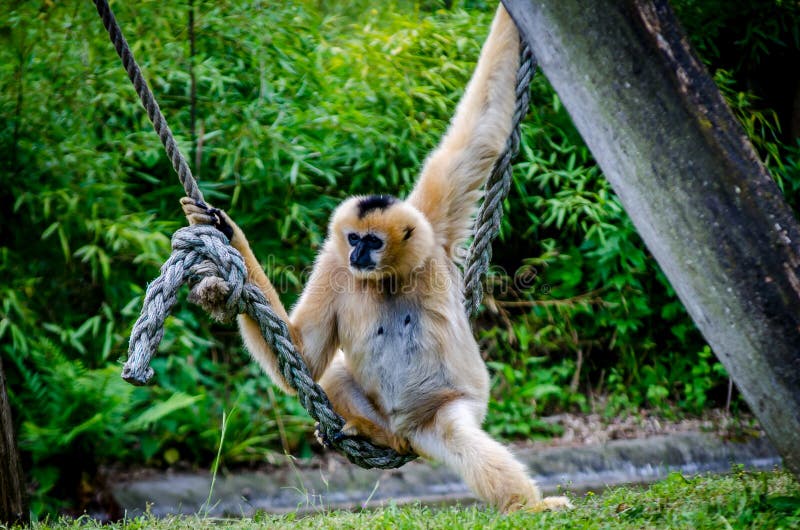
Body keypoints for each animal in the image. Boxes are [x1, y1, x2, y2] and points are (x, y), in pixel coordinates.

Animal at [181, 5, 571, 513]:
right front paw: (228, 242)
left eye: (372, 241)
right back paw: (374, 434)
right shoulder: (333, 265)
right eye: (352, 238)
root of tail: (409, 434)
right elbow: (305, 355)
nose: (357, 253)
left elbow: (481, 130)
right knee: (332, 377)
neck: (387, 276)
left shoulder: (432, 230)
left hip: (441, 411)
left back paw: (527, 505)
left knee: (462, 439)